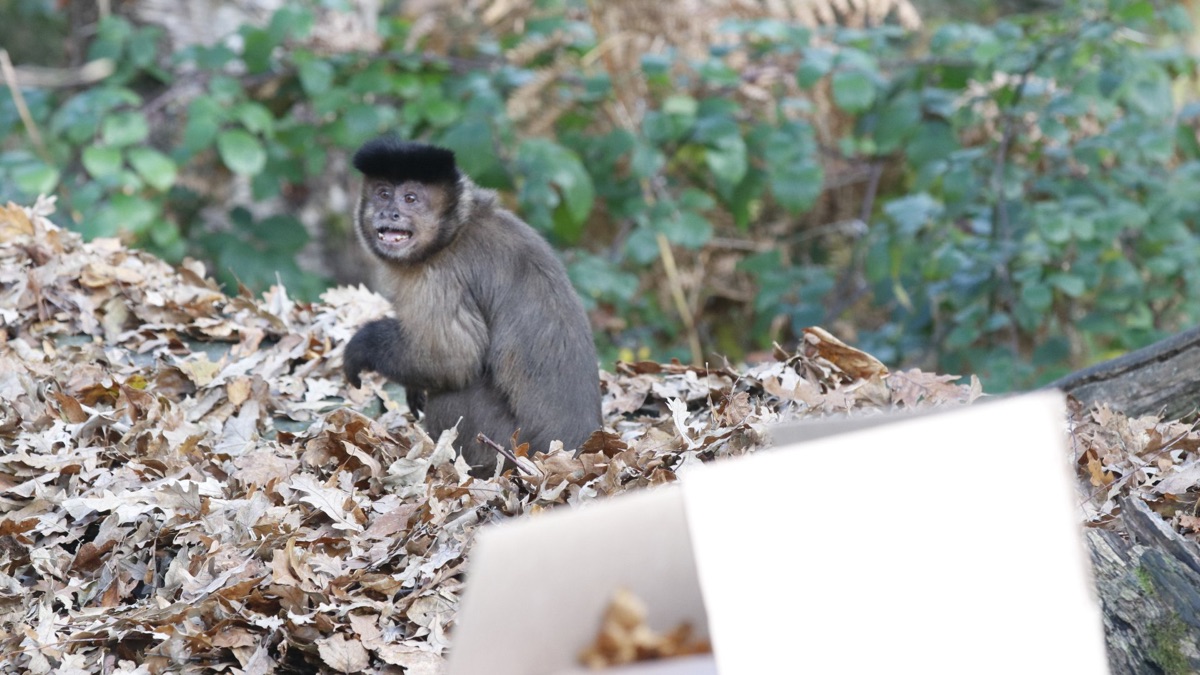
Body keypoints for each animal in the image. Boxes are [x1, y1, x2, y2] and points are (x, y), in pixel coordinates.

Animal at [342, 136, 603, 475]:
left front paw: (361, 347)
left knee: (456, 388)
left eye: (410, 198)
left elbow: (454, 359)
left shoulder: (441, 275)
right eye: (383, 193)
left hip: (505, 443)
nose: (390, 212)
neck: (455, 231)